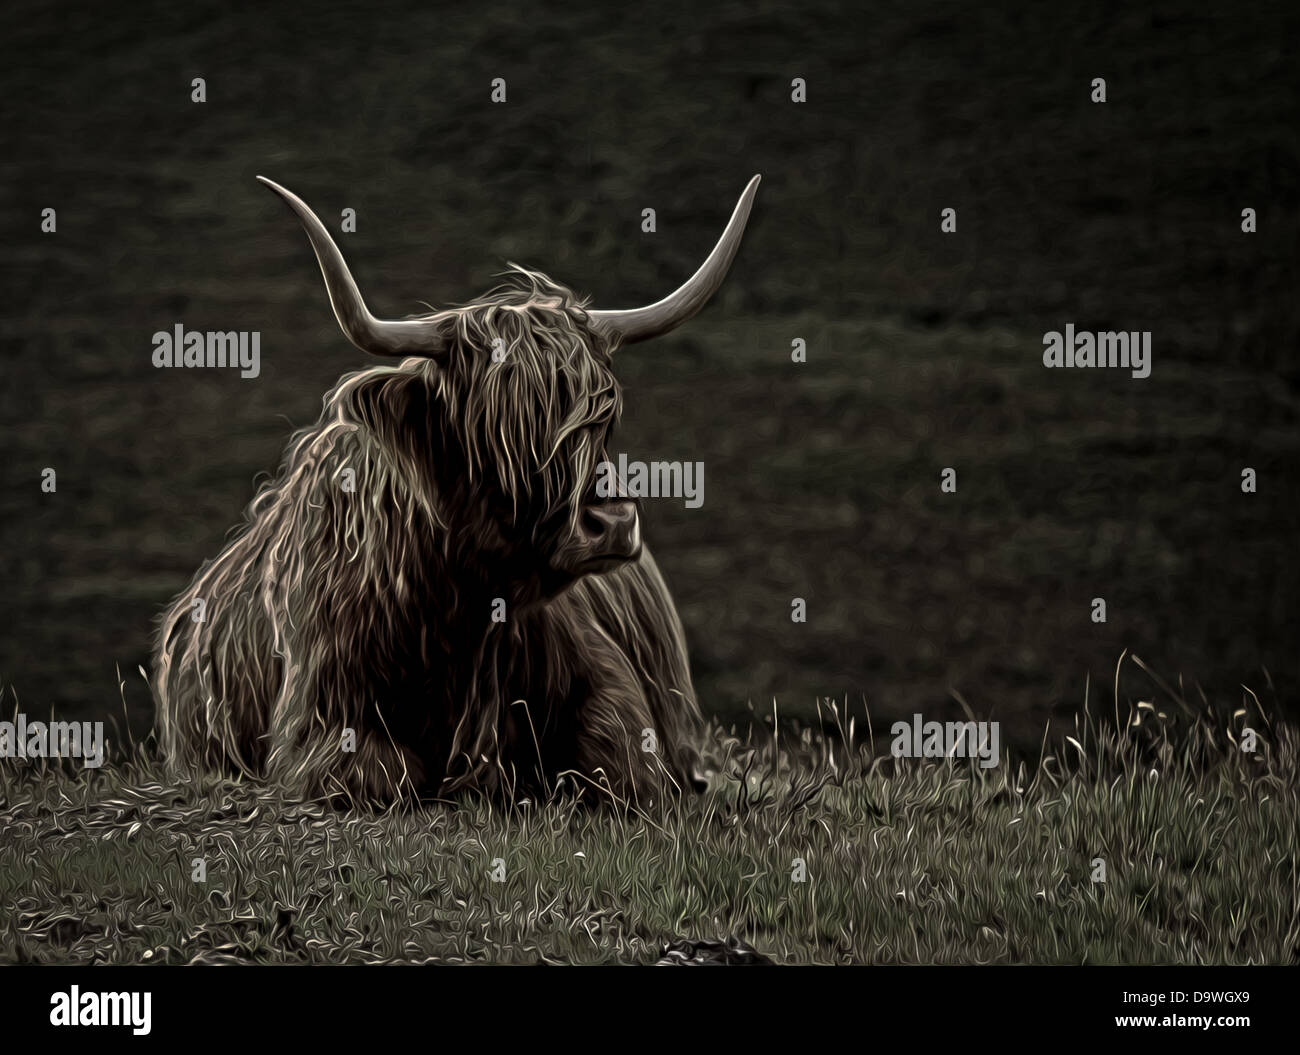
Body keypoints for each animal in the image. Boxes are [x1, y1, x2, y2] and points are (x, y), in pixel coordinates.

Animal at [153, 174, 760, 807]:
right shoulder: (316, 724)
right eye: (495, 422)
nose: (612, 523)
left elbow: (621, 769)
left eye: (603, 413)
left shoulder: (616, 699)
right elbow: (383, 774)